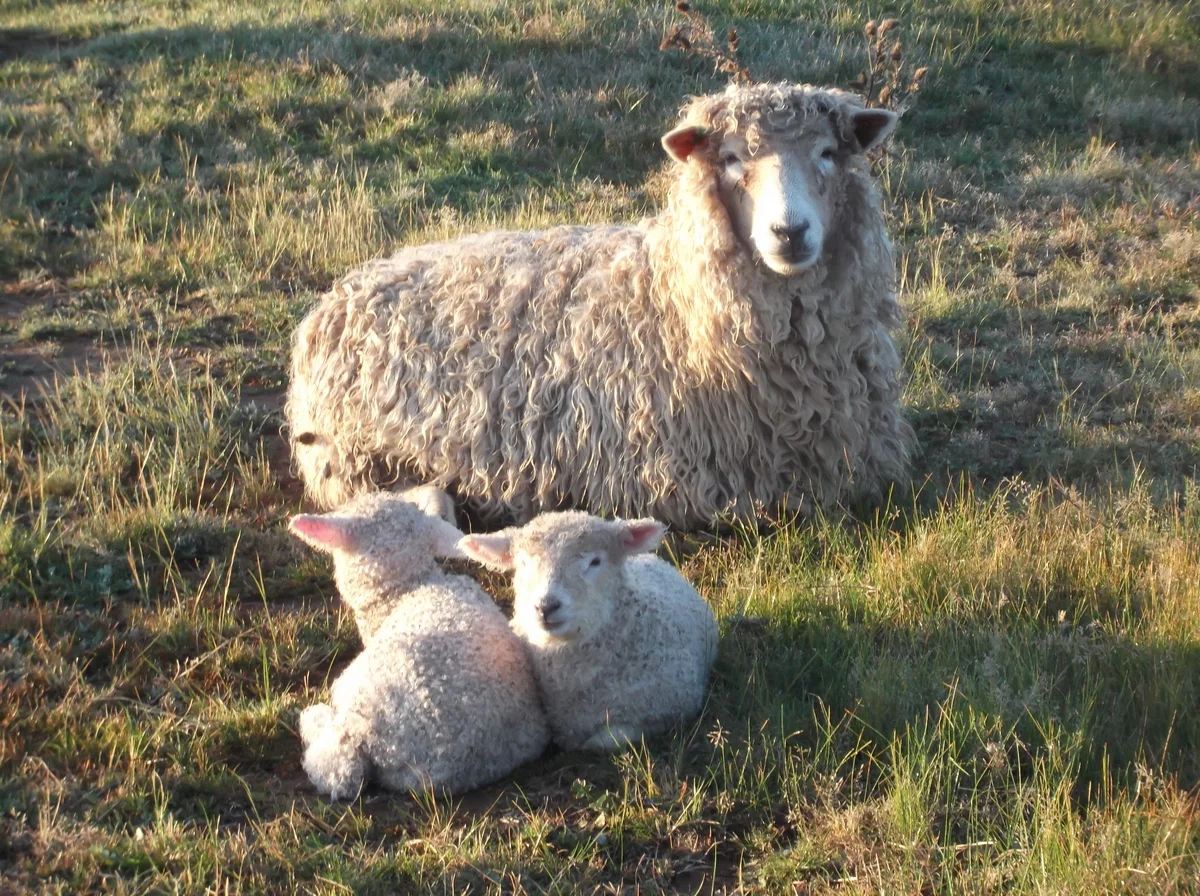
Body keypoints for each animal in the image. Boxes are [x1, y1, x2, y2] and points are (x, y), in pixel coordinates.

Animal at [287, 81, 913, 529]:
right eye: (733, 160)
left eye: (828, 153)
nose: (790, 232)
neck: (672, 302)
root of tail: (336, 297)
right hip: (364, 459)